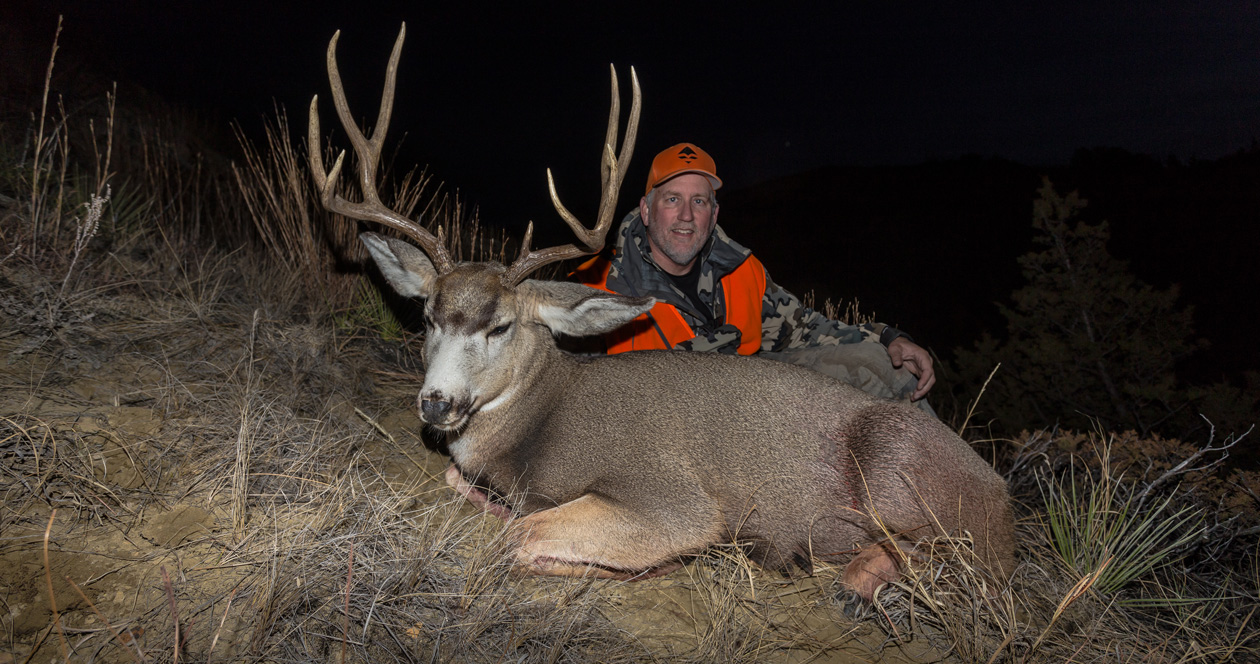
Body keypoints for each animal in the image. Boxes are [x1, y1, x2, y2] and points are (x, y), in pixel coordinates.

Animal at [307, 24, 1015, 601]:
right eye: (428, 315)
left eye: (500, 324)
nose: (436, 403)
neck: (547, 417)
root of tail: (1002, 495)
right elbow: (475, 496)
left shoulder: (670, 498)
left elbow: (522, 536)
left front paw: (658, 564)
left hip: (899, 474)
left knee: (957, 562)